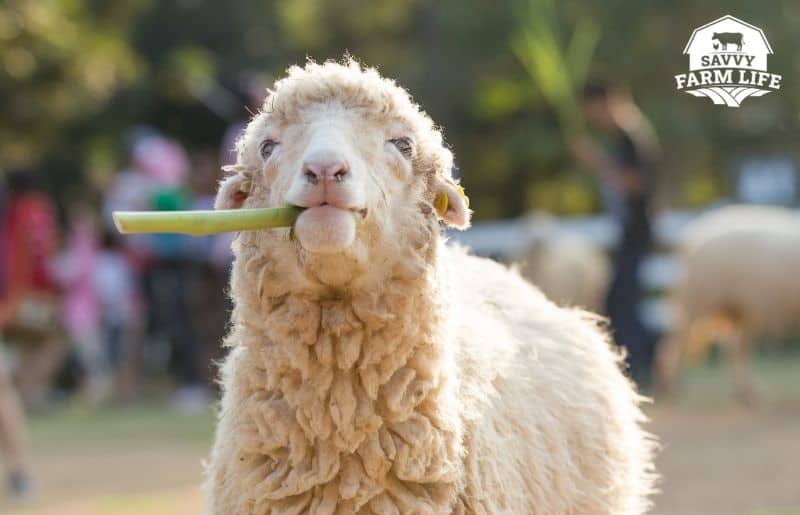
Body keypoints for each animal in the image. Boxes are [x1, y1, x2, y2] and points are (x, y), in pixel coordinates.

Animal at [655, 204, 800, 402]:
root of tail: (691, 238)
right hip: (700, 301)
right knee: (674, 345)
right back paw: (671, 390)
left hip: (734, 309)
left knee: (734, 350)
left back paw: (745, 393)